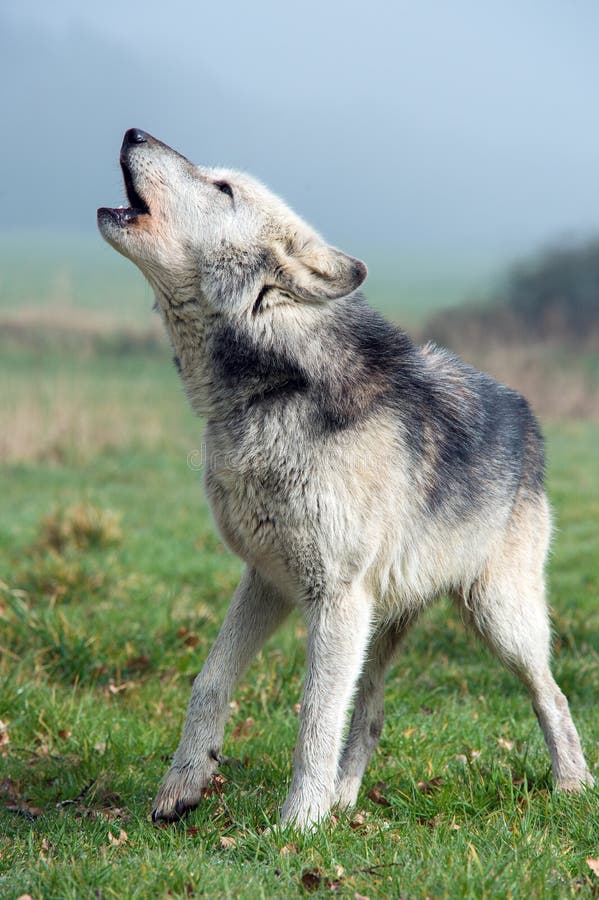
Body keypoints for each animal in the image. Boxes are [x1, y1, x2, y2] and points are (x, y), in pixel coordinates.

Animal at [98, 128, 593, 829]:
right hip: (383, 618)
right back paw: (345, 799)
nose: (134, 133)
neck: (269, 394)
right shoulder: (268, 578)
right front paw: (183, 786)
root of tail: (527, 413)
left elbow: (314, 716)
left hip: (495, 618)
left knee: (552, 693)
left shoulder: (333, 595)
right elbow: (210, 681)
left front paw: (297, 826)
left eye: (223, 188)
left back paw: (572, 785)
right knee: (372, 713)